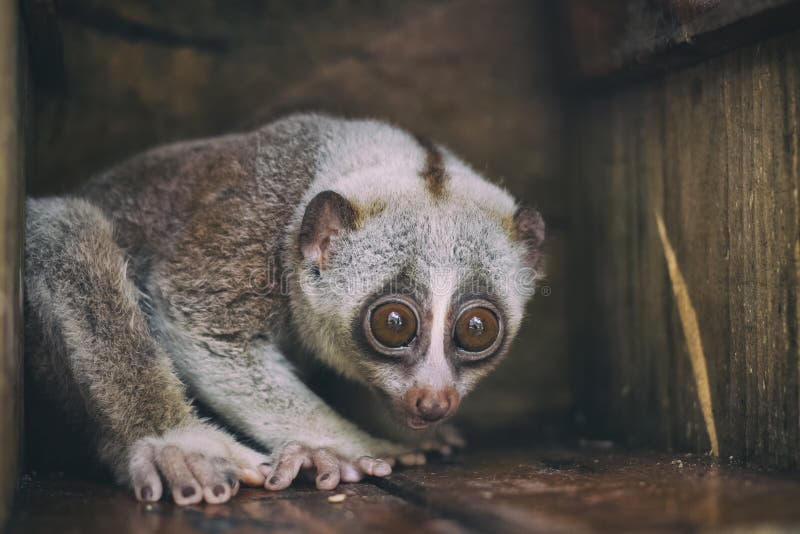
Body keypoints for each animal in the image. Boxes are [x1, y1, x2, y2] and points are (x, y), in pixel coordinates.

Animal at [23, 113, 545, 505]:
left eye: (476, 329)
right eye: (394, 324)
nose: (433, 400)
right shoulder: (245, 226)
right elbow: (204, 331)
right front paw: (342, 446)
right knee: (62, 229)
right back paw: (178, 446)